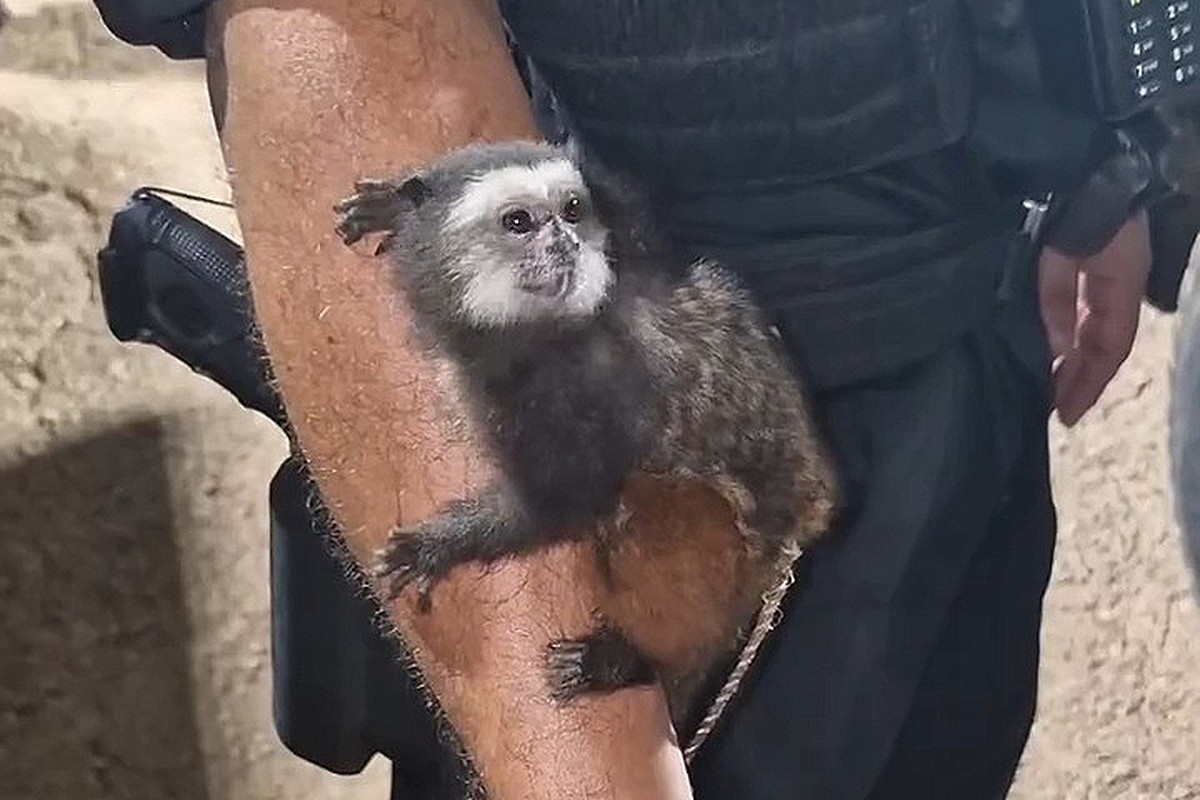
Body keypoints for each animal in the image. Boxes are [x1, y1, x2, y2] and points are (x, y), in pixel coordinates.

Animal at [334, 140, 837, 728]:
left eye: (571, 211)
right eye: (520, 222)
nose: (566, 243)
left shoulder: (571, 395)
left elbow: (565, 502)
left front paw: (440, 545)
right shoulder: (632, 255)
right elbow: (638, 223)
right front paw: (394, 204)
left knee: (675, 505)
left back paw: (629, 662)